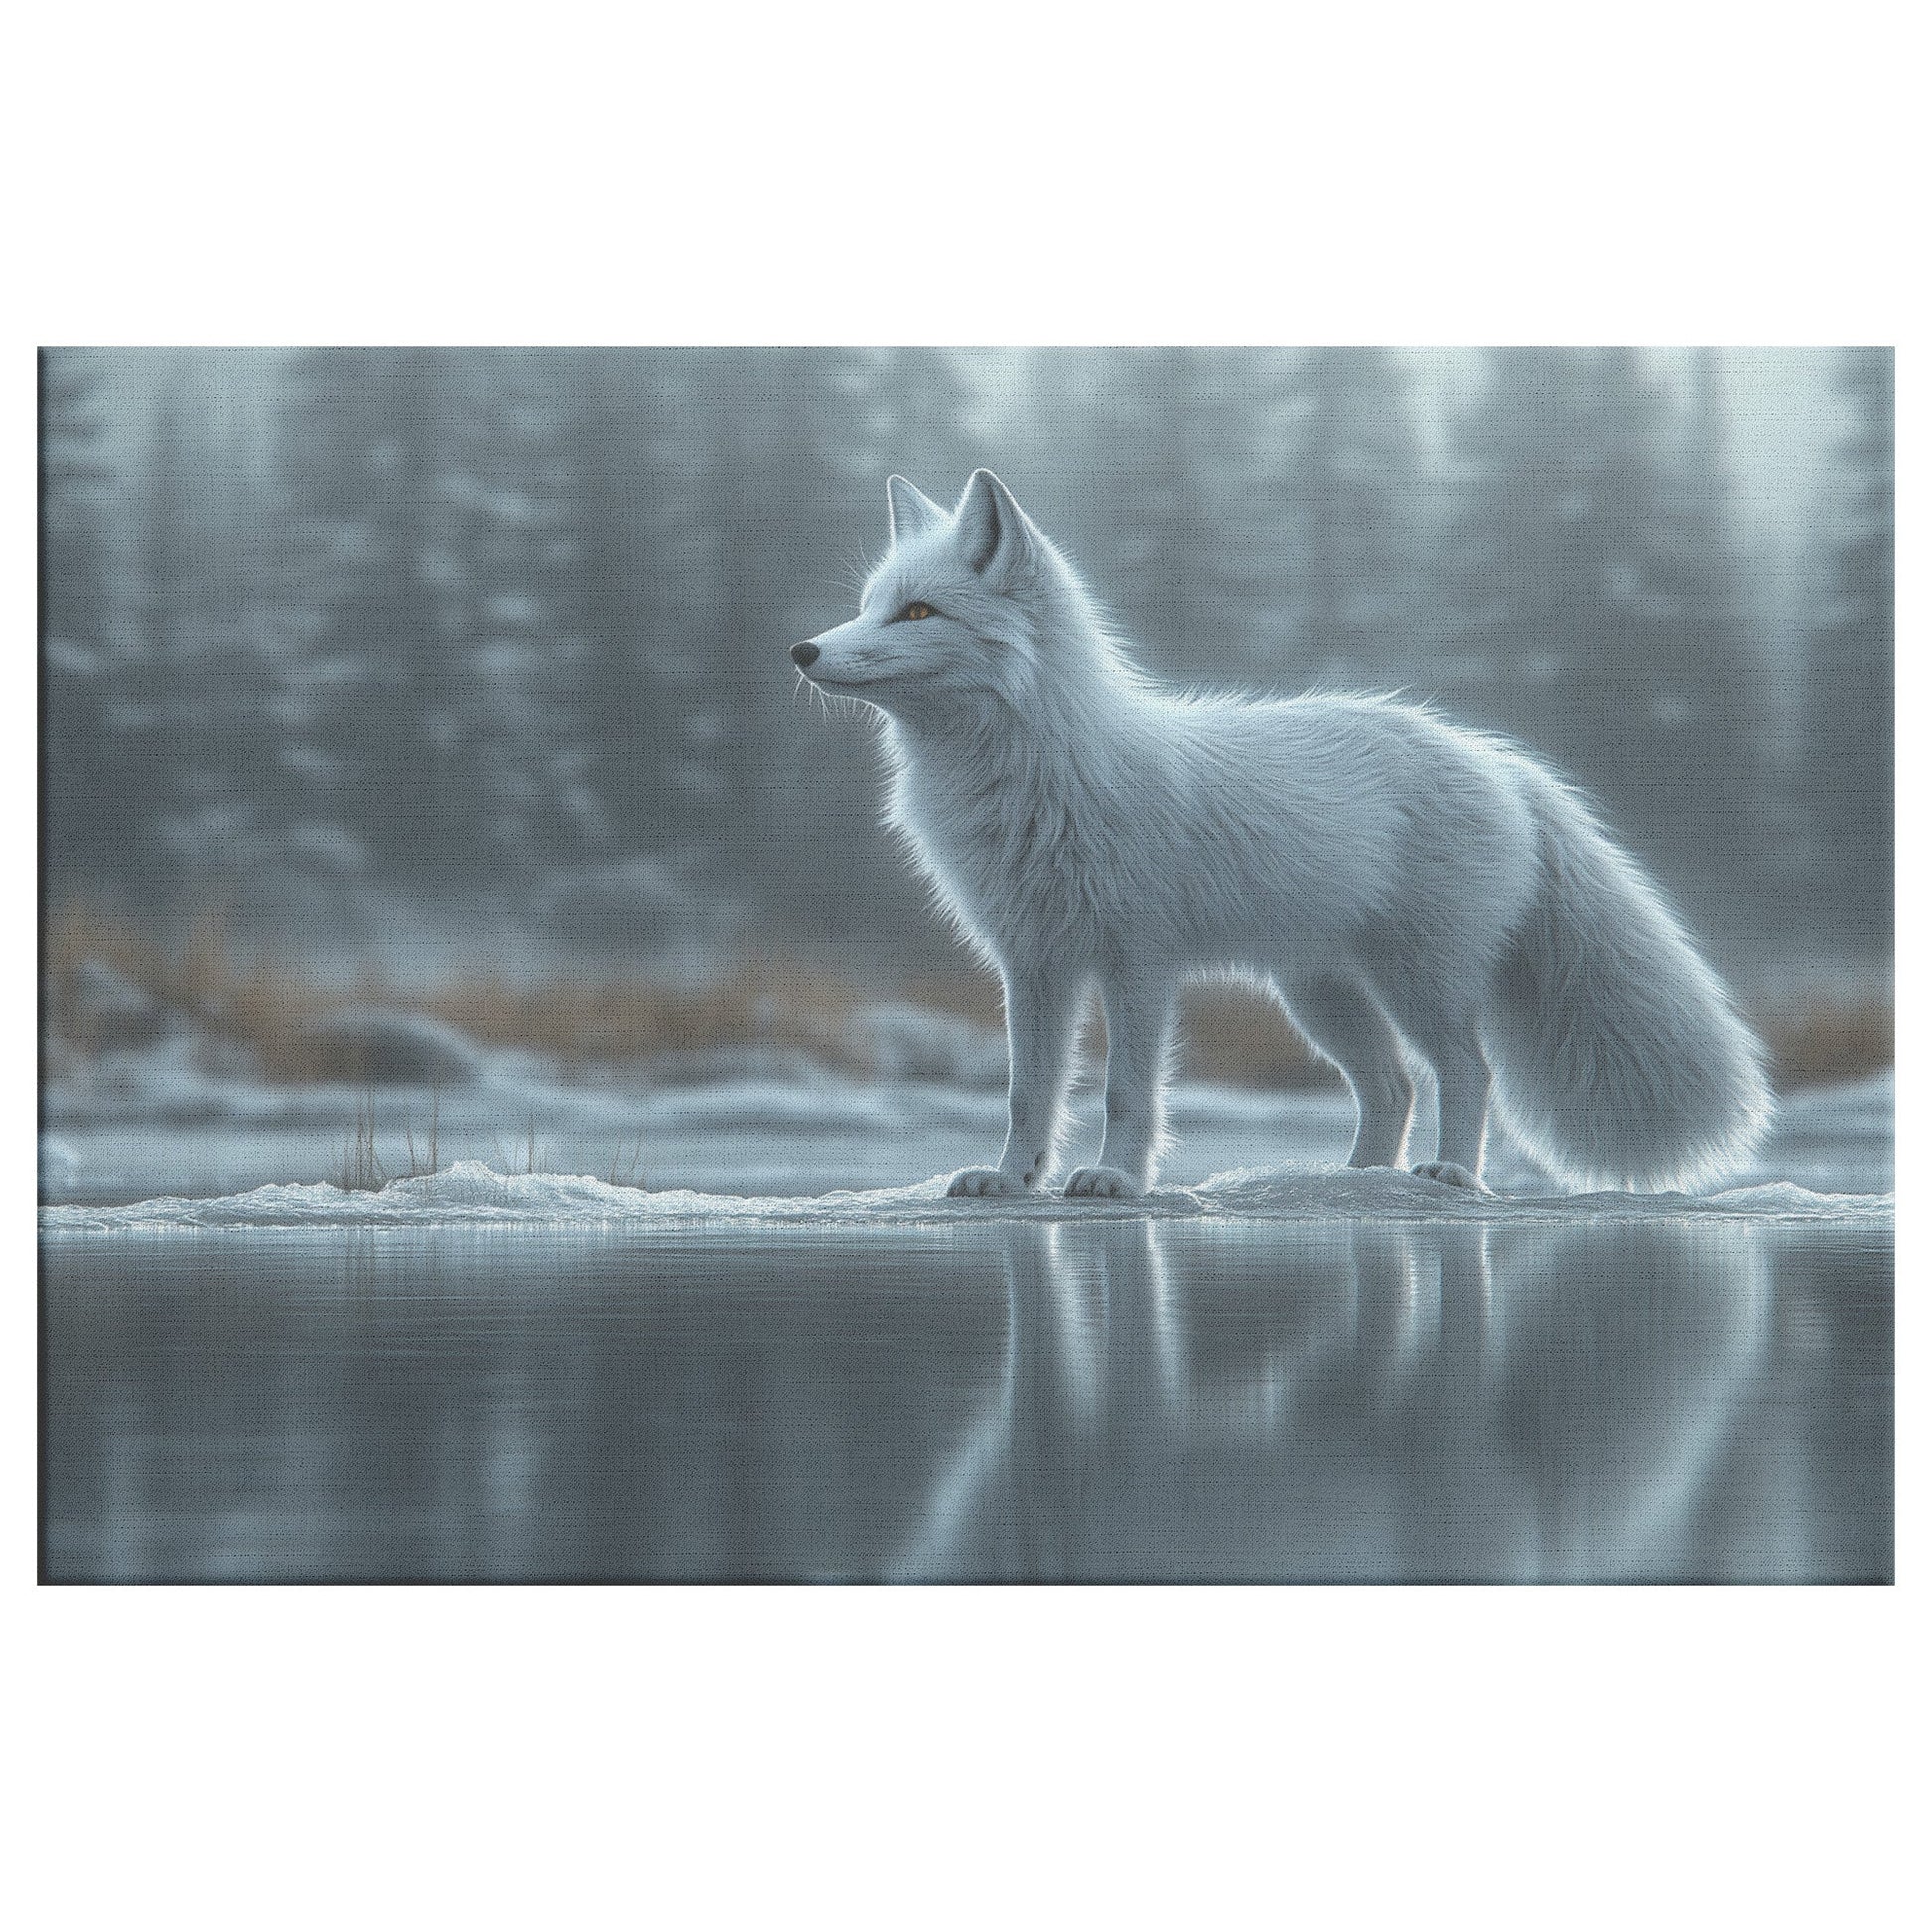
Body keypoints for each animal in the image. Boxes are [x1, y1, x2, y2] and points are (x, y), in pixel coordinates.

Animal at [790, 469, 1772, 1200]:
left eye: (919, 612)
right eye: (869, 604)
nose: (802, 651)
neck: (1040, 774)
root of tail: (1501, 761)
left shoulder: (1137, 961)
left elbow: (1124, 1094)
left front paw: (1114, 1181)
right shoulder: (1033, 963)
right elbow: (1026, 1095)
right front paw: (1011, 1181)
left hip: (1418, 980)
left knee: (1467, 1072)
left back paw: (1449, 1175)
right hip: (1319, 993)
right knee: (1391, 1084)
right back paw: (1350, 1184)